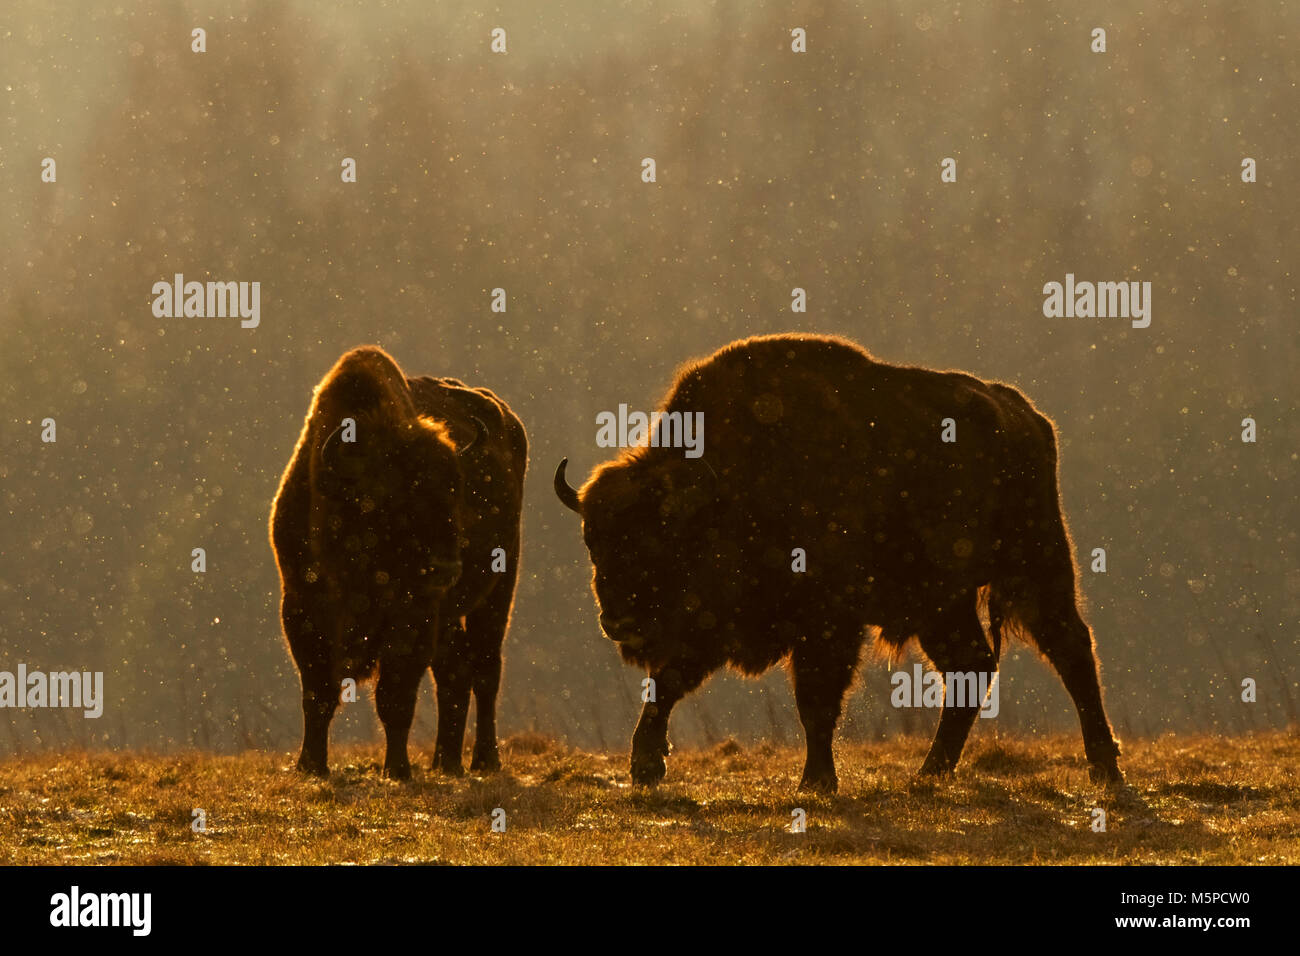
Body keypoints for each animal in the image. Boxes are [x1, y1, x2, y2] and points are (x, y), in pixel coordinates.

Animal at [271, 346, 527, 779]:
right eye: (394, 502)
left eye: (456, 491)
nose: (445, 568)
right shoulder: (301, 606)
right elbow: (317, 692)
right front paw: (311, 765)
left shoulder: (412, 616)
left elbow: (395, 695)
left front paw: (398, 769)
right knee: (456, 672)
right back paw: (446, 762)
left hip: (498, 591)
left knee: (485, 668)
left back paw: (484, 759)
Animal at [555, 333, 1122, 792]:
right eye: (593, 542)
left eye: (660, 542)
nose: (618, 621)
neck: (724, 493)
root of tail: (1024, 414)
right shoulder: (710, 627)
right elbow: (668, 683)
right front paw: (645, 767)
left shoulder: (828, 624)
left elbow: (816, 702)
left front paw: (816, 781)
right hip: (943, 603)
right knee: (972, 666)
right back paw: (929, 773)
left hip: (1037, 566)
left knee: (1071, 648)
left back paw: (1105, 767)